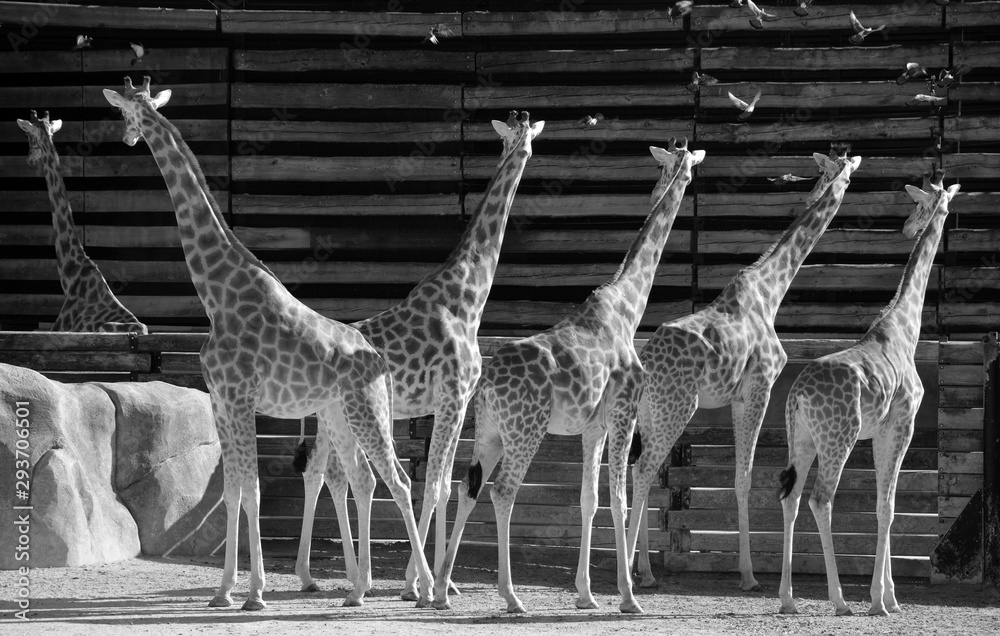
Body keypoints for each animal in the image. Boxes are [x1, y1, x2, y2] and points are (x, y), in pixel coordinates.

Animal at [102, 76, 435, 610]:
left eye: (127, 112)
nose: (128, 137)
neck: (216, 293)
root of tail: (381, 361)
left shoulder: (241, 397)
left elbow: (253, 490)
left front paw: (255, 593)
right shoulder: (221, 400)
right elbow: (234, 491)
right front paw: (224, 592)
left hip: (365, 409)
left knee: (400, 482)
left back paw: (426, 591)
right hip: (339, 412)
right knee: (364, 480)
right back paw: (358, 590)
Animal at [294, 111, 544, 601]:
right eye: (513, 141)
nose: (522, 154)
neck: (467, 296)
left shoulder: (456, 401)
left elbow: (443, 484)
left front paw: (441, 582)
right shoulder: (452, 396)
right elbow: (433, 486)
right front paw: (421, 584)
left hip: (330, 417)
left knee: (320, 474)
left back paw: (318, 575)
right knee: (337, 476)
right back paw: (349, 578)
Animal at [434, 139, 706, 614]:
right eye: (688, 168)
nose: (688, 179)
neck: (628, 307)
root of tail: (486, 385)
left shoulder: (592, 428)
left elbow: (588, 501)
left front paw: (586, 594)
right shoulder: (623, 415)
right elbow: (618, 499)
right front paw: (627, 596)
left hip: (490, 431)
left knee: (468, 486)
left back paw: (443, 589)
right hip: (526, 430)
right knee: (502, 492)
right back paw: (510, 596)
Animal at [627, 148, 863, 591]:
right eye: (843, 172)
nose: (820, 188)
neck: (771, 291)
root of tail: (646, 362)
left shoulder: (740, 396)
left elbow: (740, 478)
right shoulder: (760, 387)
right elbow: (745, 479)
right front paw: (750, 574)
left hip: (649, 414)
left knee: (637, 471)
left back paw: (645, 572)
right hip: (676, 408)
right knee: (642, 469)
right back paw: (633, 578)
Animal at [777, 170, 960, 617]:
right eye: (924, 203)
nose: (908, 227)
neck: (905, 329)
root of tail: (797, 396)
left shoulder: (879, 433)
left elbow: (884, 504)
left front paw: (891, 597)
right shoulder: (903, 424)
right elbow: (888, 507)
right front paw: (881, 600)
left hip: (801, 439)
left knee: (791, 499)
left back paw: (787, 600)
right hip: (838, 439)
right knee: (820, 500)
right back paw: (840, 600)